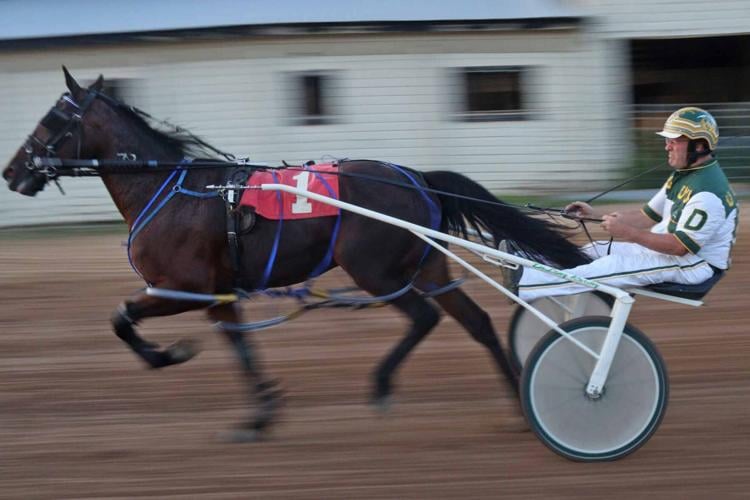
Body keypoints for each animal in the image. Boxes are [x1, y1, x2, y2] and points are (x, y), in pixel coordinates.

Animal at [3, 67, 590, 437]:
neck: (172, 190)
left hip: (375, 269)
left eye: (52, 119)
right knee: (475, 322)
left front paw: (170, 354)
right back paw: (517, 399)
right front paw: (261, 413)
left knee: (422, 318)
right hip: (425, 266)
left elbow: (122, 320)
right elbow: (240, 348)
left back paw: (382, 385)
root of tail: (415, 175)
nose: (12, 171)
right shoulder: (219, 293)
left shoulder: (181, 288)